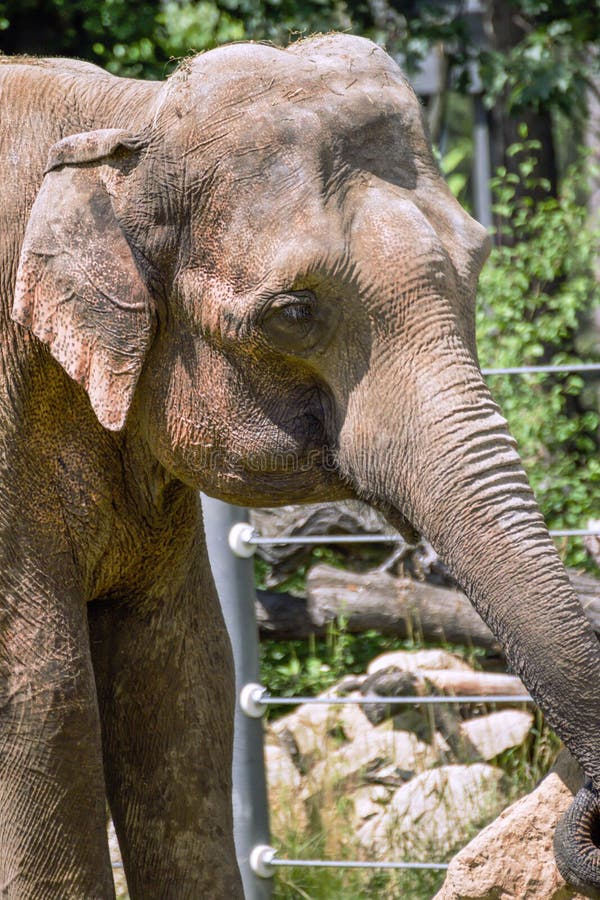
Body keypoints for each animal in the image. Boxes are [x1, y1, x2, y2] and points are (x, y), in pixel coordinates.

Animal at [0, 32, 599, 898]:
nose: (582, 814)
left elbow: (183, 680)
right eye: (293, 313)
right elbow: (44, 698)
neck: (122, 118)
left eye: (480, 258)